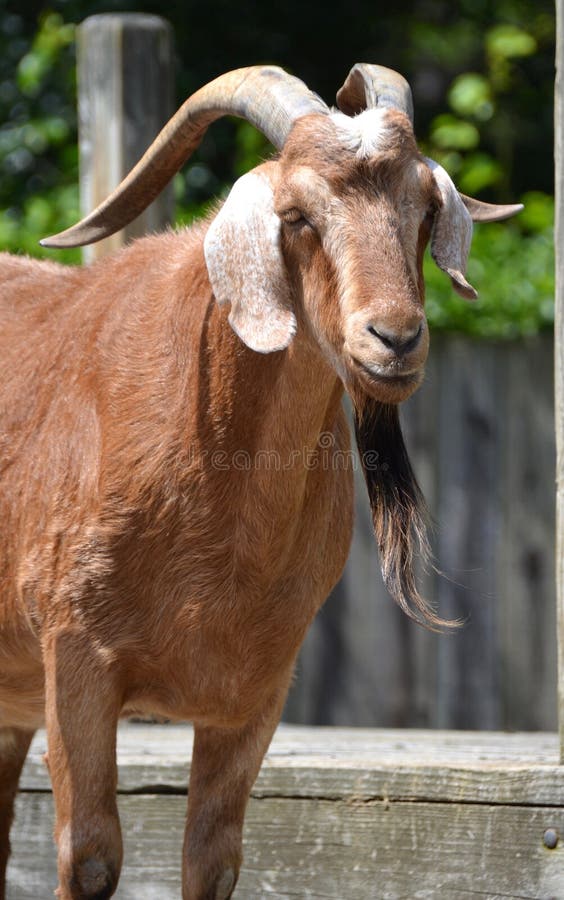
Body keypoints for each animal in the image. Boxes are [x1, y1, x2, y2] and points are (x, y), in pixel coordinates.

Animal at [0, 63, 521, 900]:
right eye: (299, 214)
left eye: (423, 209)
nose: (395, 338)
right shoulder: (75, 657)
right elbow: (91, 857)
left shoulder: (254, 695)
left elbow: (213, 860)